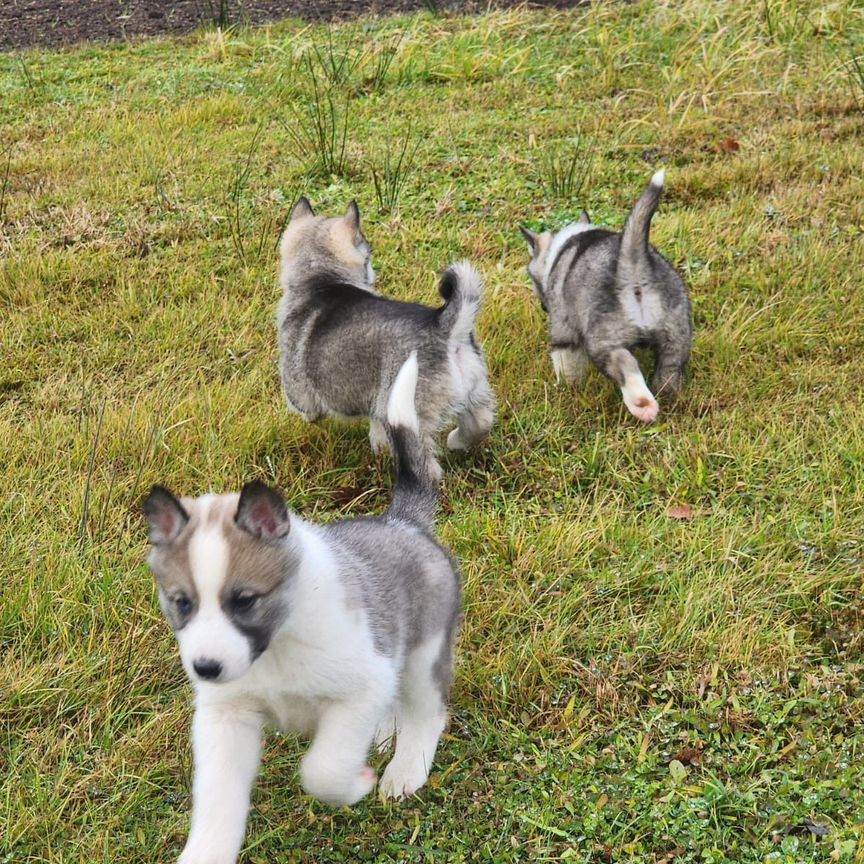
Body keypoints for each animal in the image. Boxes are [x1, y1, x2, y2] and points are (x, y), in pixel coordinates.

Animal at [145, 352, 462, 864]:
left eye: (245, 600)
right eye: (182, 603)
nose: (206, 668)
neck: (276, 647)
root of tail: (402, 522)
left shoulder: (357, 689)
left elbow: (323, 769)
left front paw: (355, 784)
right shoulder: (226, 717)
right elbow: (217, 804)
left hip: (424, 653)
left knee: (427, 713)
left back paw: (405, 770)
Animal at [276, 199, 492, 476]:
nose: (374, 273)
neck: (320, 281)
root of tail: (444, 327)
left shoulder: (300, 391)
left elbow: (308, 412)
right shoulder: (375, 402)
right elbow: (376, 428)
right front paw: (379, 448)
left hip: (409, 416)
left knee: (428, 469)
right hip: (474, 393)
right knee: (481, 422)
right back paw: (456, 441)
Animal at [520, 169, 696, 422]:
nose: (543, 306)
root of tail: (634, 262)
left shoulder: (564, 329)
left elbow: (566, 363)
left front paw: (565, 387)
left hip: (603, 339)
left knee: (624, 363)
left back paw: (641, 404)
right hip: (676, 335)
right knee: (669, 372)